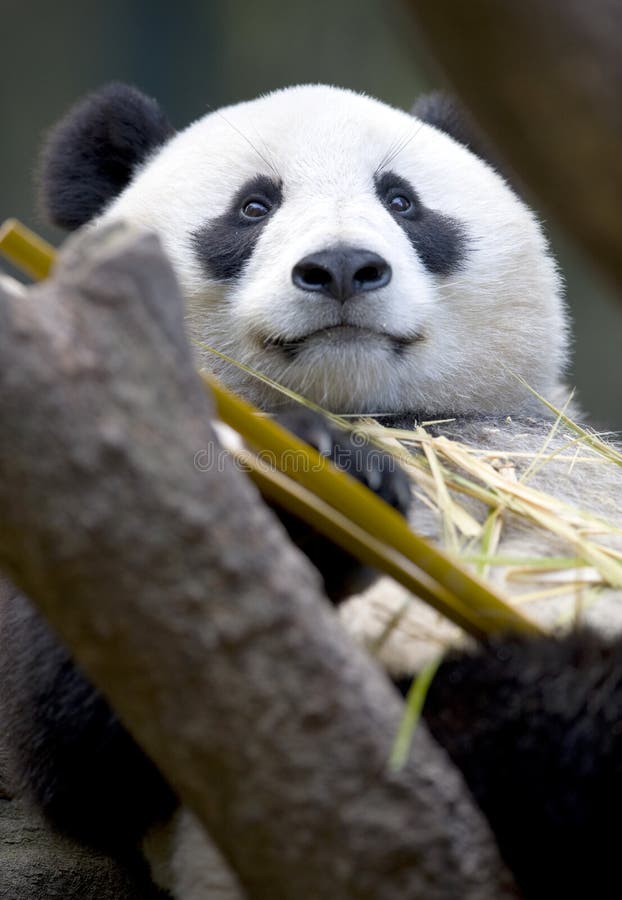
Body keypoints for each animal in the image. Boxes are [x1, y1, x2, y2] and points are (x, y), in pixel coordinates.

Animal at [2, 82, 622, 900]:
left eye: (401, 199)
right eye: (253, 207)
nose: (342, 267)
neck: (369, 413)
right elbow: (80, 725)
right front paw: (316, 490)